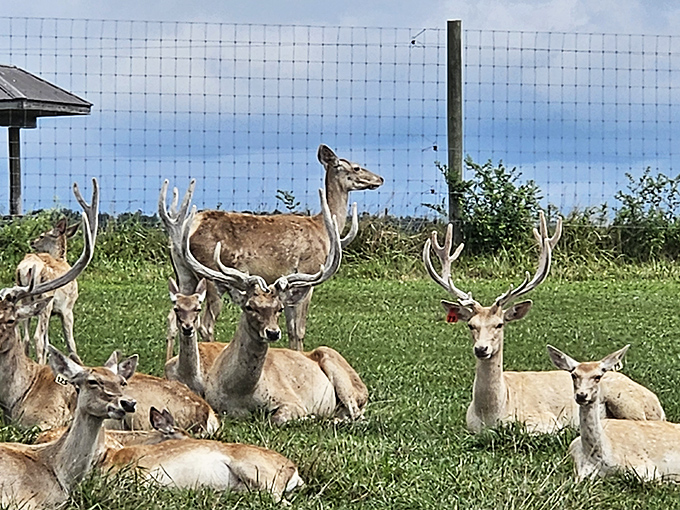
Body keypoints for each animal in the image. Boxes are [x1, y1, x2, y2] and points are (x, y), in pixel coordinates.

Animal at [16, 217, 80, 363]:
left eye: (42, 236)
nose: (32, 241)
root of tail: (27, 268)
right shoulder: (67, 309)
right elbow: (71, 343)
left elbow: (48, 343)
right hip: (45, 300)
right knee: (37, 338)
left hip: (25, 300)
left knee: (26, 338)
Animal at [160, 143, 384, 353]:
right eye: (356, 167)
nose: (379, 179)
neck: (322, 228)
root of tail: (189, 226)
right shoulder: (308, 273)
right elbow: (298, 330)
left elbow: (291, 328)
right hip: (211, 277)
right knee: (205, 324)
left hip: (184, 273)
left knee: (173, 317)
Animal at [175, 187, 367, 423]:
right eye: (249, 306)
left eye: (279, 308)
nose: (273, 332)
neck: (241, 391)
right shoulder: (220, 406)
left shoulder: (291, 400)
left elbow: (278, 418)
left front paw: (308, 417)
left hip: (341, 374)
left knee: (356, 412)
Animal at [423, 213, 665, 433]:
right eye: (471, 325)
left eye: (499, 324)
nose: (481, 349)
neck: (492, 414)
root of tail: (658, 404)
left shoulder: (543, 420)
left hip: (627, 401)